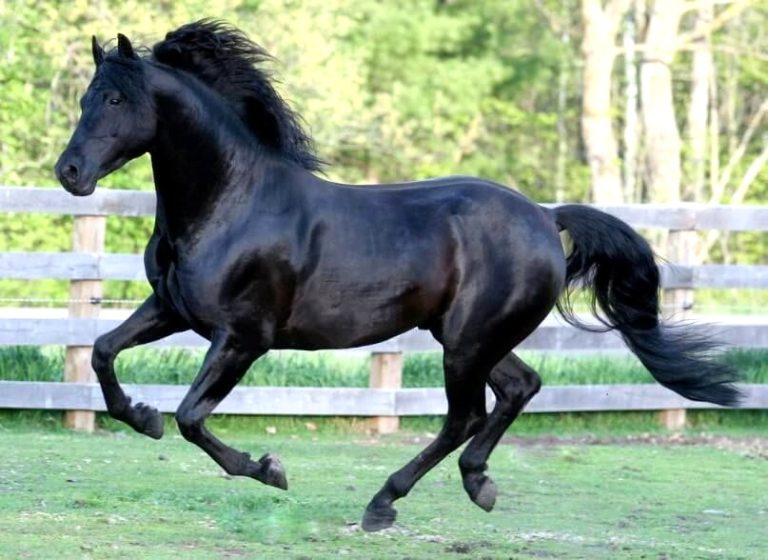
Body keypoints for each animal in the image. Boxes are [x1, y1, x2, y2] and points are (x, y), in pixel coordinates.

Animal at [54, 20, 740, 532]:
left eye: (115, 99)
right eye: (87, 98)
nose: (70, 172)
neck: (233, 202)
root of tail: (546, 218)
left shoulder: (243, 337)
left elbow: (193, 416)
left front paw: (270, 468)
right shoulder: (172, 310)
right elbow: (103, 352)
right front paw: (140, 415)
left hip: (466, 342)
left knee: (466, 414)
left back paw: (384, 503)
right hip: (473, 338)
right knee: (520, 388)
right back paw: (477, 484)